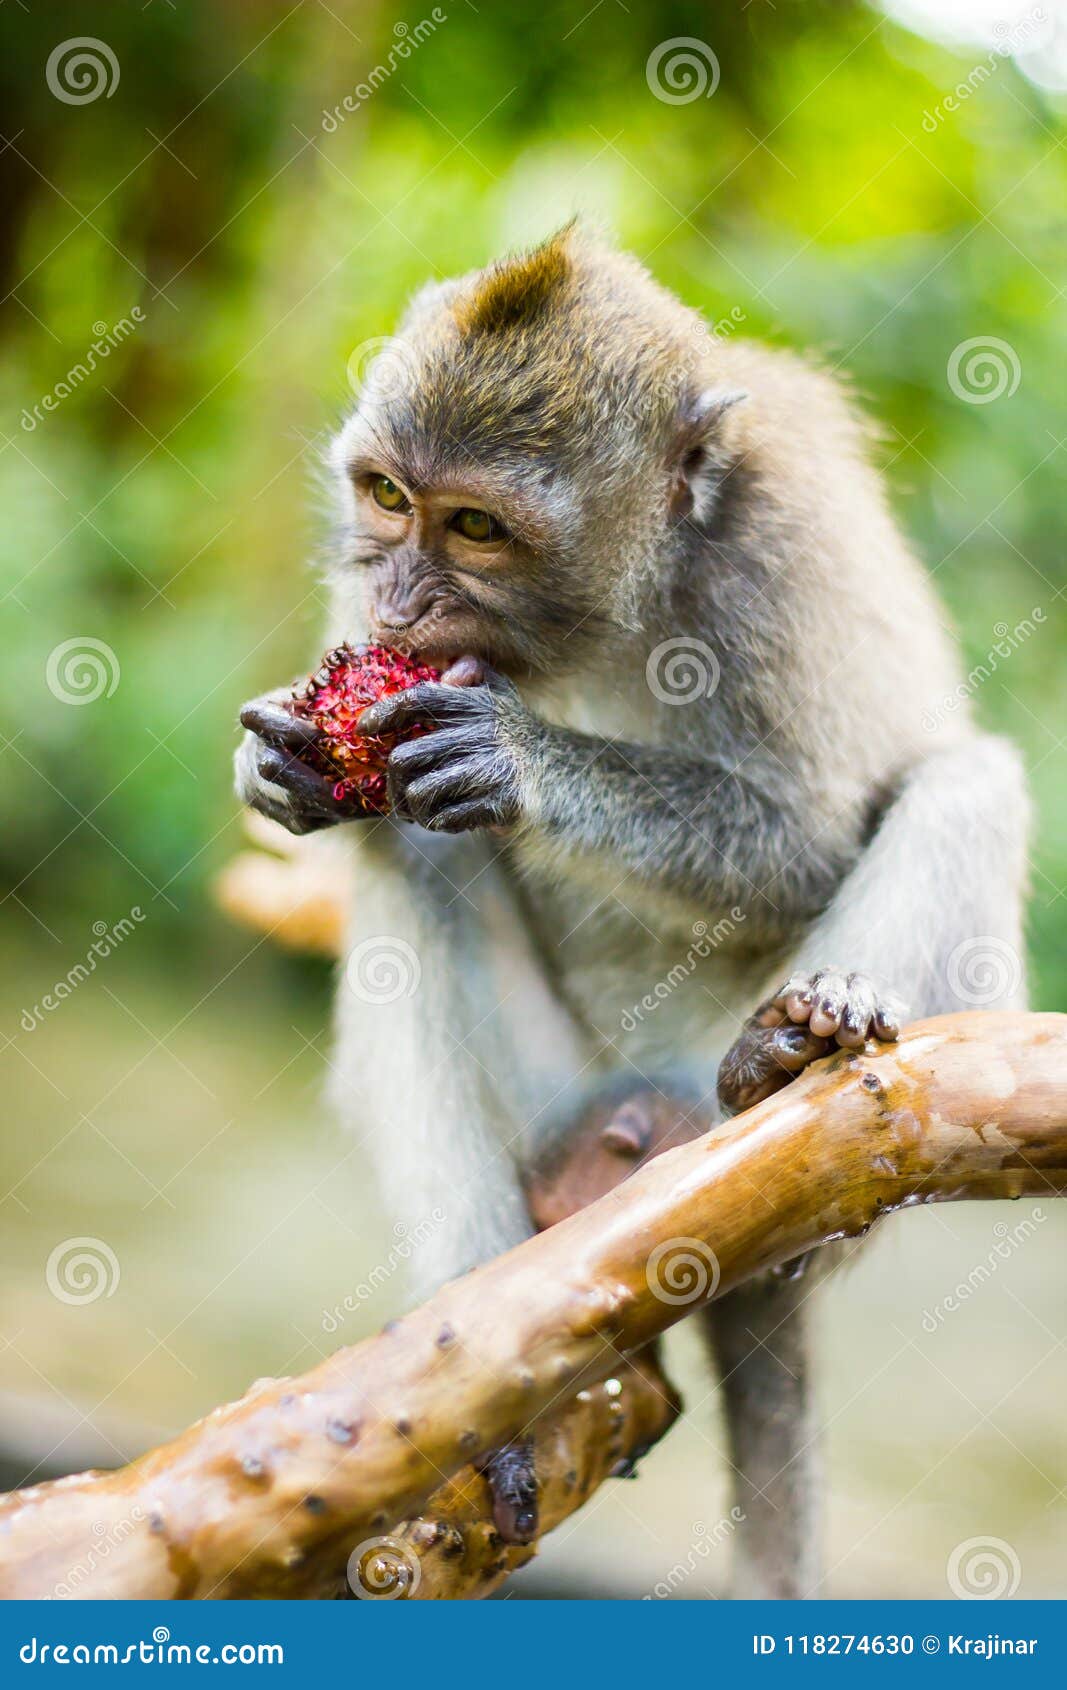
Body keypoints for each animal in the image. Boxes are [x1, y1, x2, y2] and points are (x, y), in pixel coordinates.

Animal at [234, 226, 1028, 1598]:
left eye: (476, 526)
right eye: (385, 497)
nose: (395, 606)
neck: (594, 628)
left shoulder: (780, 550)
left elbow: (803, 838)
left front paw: (521, 761)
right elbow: (368, 810)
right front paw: (280, 765)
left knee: (965, 782)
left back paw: (775, 1064)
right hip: (556, 1102)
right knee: (408, 846)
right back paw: (467, 1327)